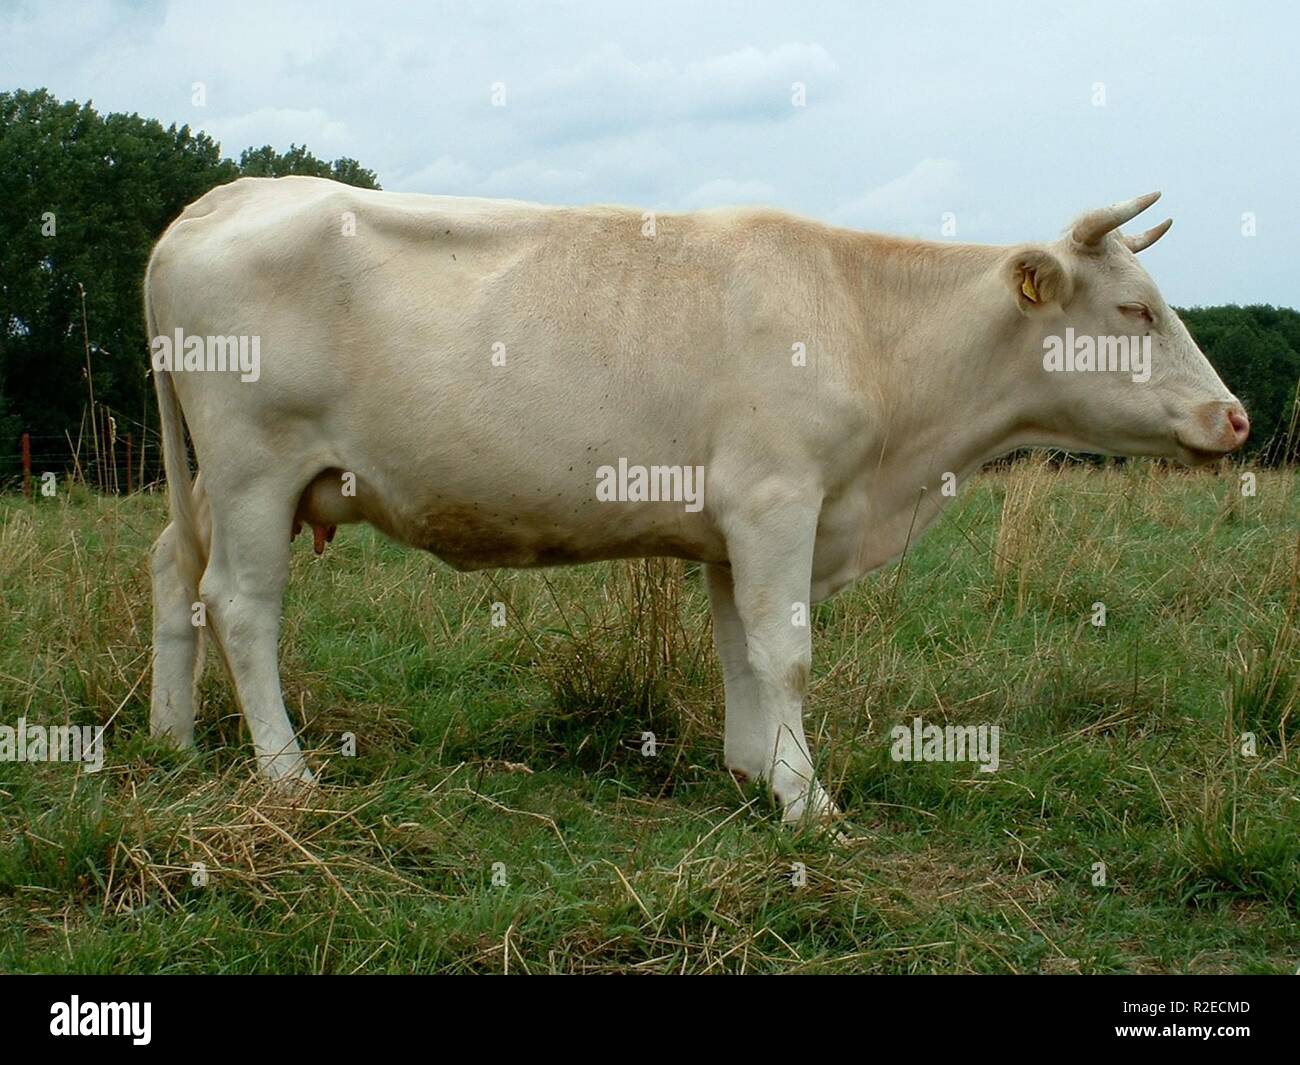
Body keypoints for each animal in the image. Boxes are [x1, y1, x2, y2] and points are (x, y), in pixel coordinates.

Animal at [145, 178, 1248, 824]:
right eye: (1133, 309)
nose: (1233, 418)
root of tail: (221, 198)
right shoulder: (776, 498)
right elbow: (787, 652)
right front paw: (808, 803)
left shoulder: (736, 528)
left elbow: (741, 652)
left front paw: (754, 771)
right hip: (254, 464)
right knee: (241, 604)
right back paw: (285, 772)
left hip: (212, 479)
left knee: (172, 571)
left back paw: (172, 738)